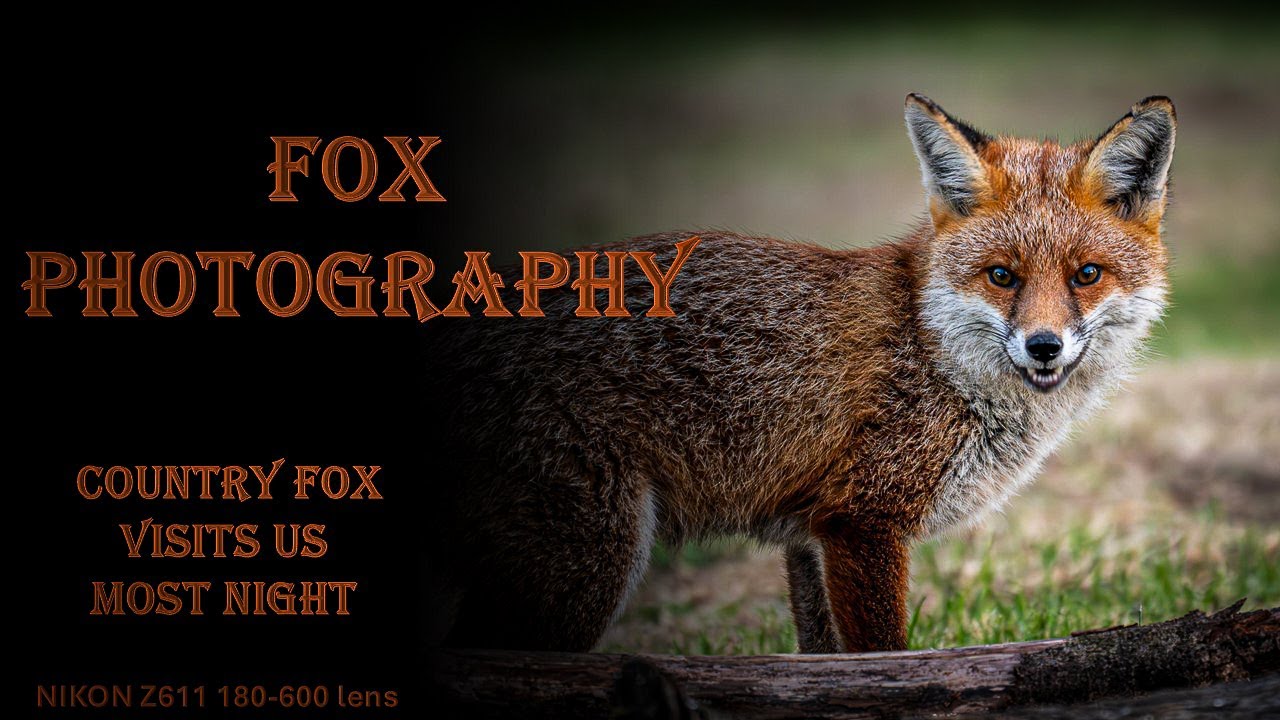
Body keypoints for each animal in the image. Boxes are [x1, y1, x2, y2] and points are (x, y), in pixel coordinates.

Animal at [424, 93, 1175, 654]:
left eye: (1085, 275)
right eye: (1001, 276)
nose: (1044, 346)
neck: (933, 349)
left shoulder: (809, 534)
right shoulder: (862, 520)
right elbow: (881, 659)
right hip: (586, 568)